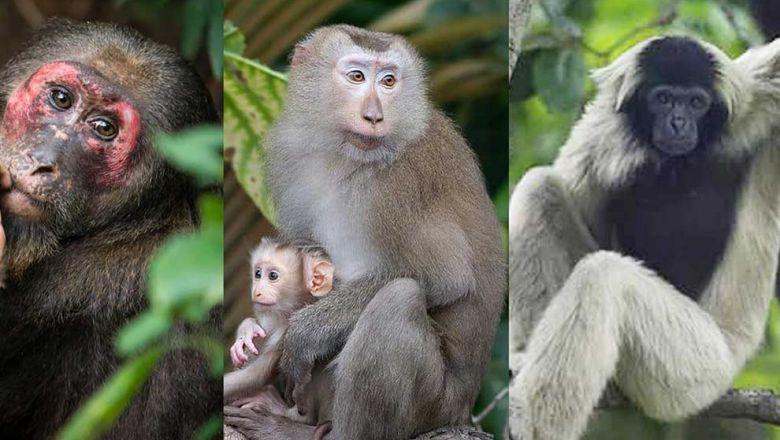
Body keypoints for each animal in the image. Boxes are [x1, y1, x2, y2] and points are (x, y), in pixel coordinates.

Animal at [224, 237, 334, 406]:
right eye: (257, 273)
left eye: (273, 276)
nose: (257, 292)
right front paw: (247, 330)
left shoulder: (288, 332)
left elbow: (255, 376)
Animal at [507, 36, 780, 440]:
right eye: (663, 99)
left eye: (696, 103)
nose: (678, 122)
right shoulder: (605, 131)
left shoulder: (755, 97)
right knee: (538, 187)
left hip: (701, 367)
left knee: (605, 275)